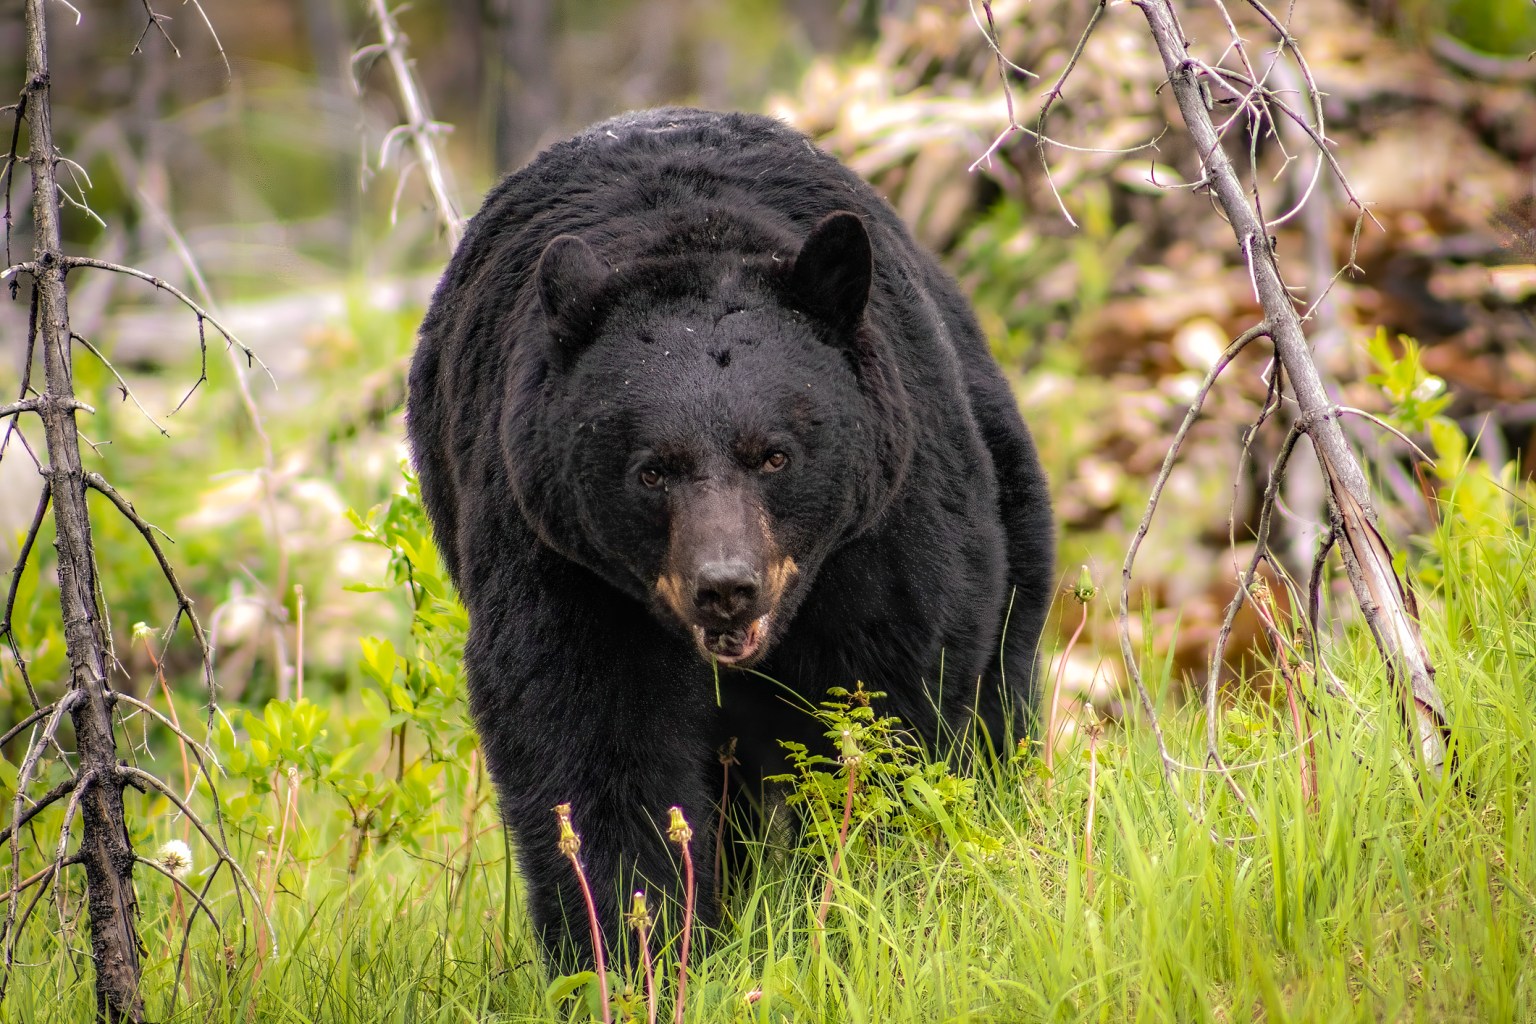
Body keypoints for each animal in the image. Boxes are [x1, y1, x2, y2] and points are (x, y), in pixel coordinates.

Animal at [406, 107, 1054, 968]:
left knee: (1001, 684)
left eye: (774, 454)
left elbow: (886, 703)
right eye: (653, 470)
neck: (690, 239)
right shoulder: (557, 553)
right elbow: (592, 739)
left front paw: (865, 901)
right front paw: (635, 947)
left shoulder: (884, 527)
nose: (725, 585)